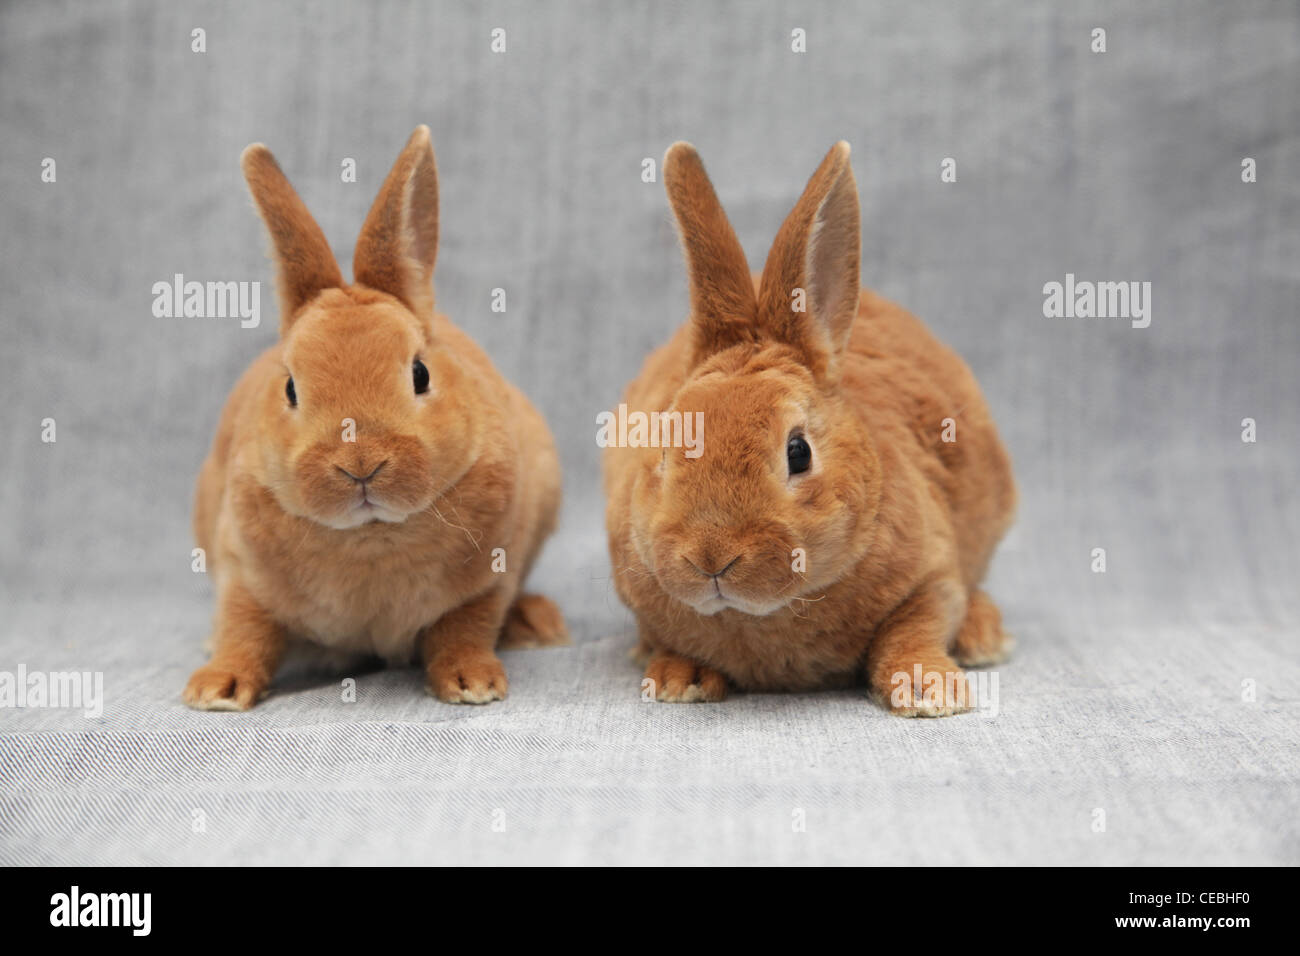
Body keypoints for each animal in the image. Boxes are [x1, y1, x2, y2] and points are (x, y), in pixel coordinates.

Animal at [183, 126, 567, 711]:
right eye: (290, 387)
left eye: (420, 374)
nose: (360, 465)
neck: (371, 537)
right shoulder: (240, 569)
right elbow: (244, 628)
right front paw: (215, 689)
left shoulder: (489, 578)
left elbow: (464, 628)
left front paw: (473, 683)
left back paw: (536, 623)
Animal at [603, 142, 1016, 716]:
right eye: (662, 451)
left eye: (798, 452)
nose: (711, 558)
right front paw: (678, 679)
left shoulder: (933, 576)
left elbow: (916, 626)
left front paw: (928, 691)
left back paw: (985, 639)